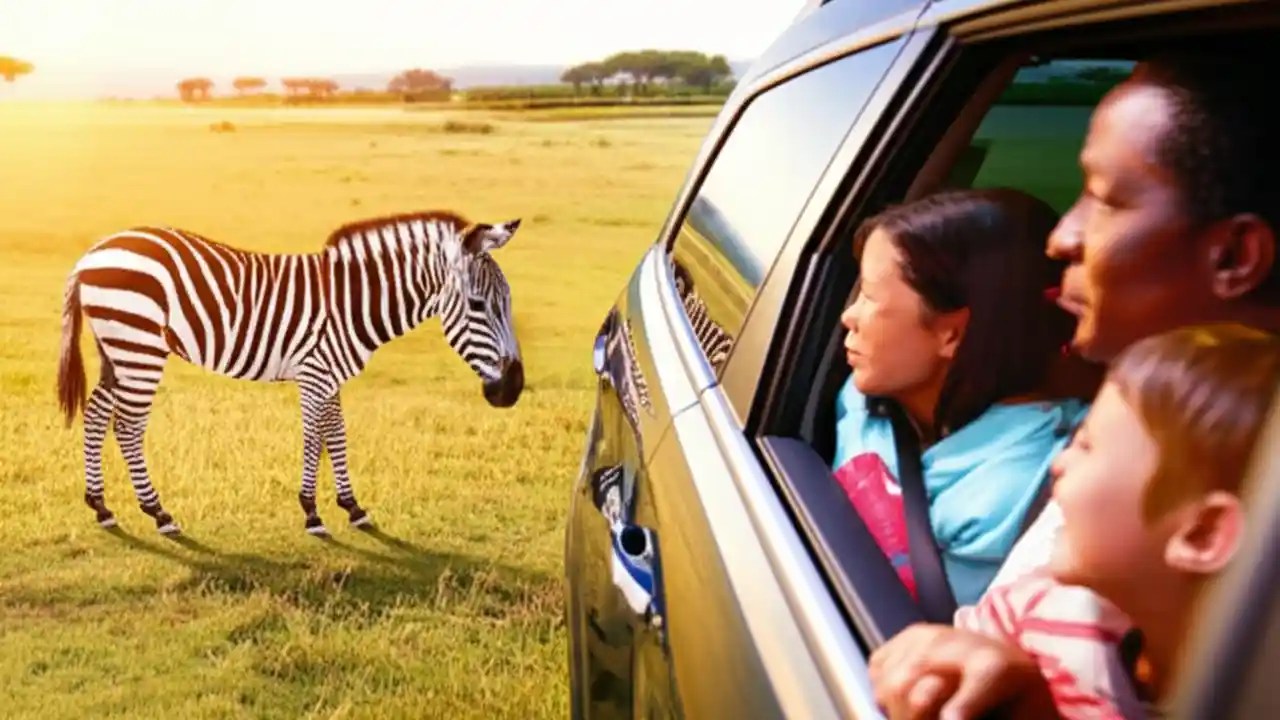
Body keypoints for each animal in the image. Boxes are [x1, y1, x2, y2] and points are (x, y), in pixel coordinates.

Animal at [56, 210, 524, 536]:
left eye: (508, 301)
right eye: (478, 305)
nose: (514, 388)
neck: (351, 303)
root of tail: (92, 254)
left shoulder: (331, 376)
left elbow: (336, 434)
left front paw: (352, 507)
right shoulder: (315, 374)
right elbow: (314, 436)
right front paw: (312, 512)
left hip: (117, 350)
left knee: (96, 414)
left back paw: (101, 506)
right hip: (139, 348)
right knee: (128, 427)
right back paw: (158, 513)